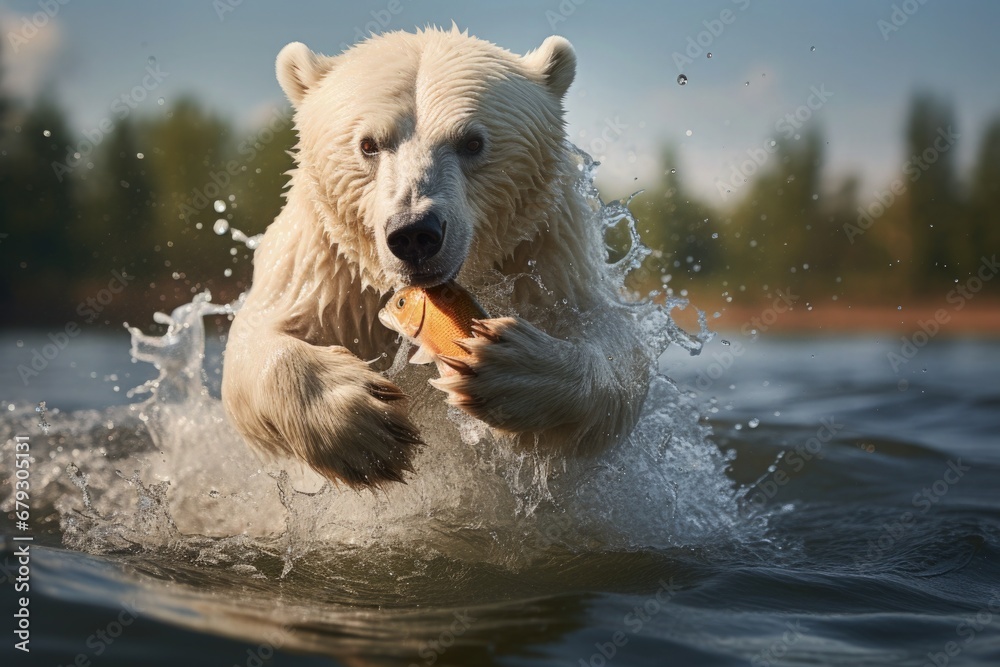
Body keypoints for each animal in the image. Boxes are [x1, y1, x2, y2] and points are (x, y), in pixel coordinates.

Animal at [221, 26, 650, 490]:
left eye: (473, 142)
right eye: (368, 144)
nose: (414, 234)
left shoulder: (545, 253)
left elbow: (617, 345)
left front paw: (512, 370)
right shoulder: (323, 266)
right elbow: (250, 345)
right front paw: (364, 429)